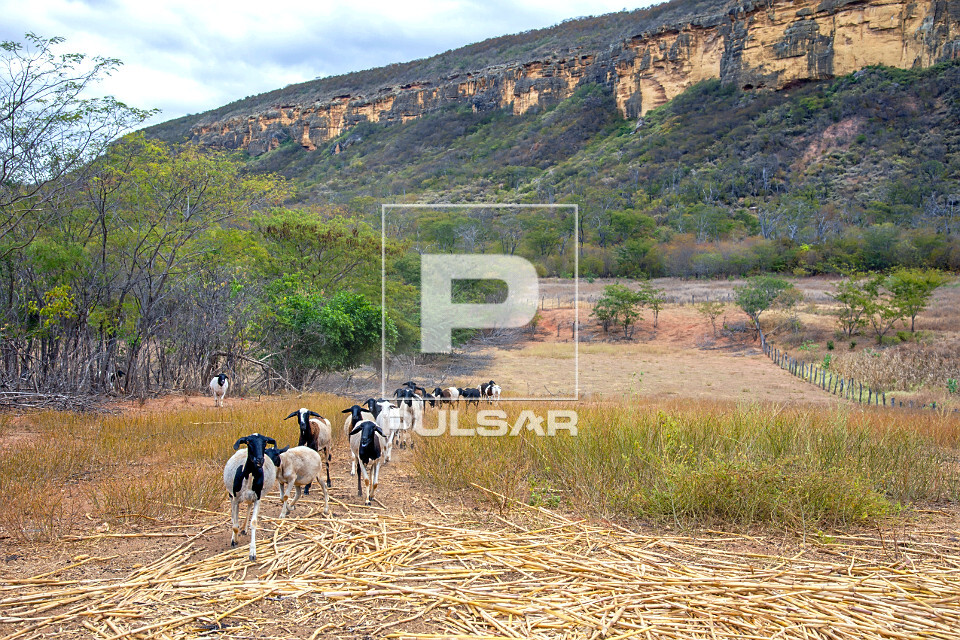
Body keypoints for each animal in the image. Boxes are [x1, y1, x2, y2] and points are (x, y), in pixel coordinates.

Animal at [223, 433, 277, 561]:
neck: (250, 475)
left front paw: (252, 552)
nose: (260, 460)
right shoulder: (235, 499)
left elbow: (254, 522)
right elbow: (235, 525)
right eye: (248, 442)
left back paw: (245, 529)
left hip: (250, 498)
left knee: (248, 507)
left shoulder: (257, 498)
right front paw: (234, 541)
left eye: (265, 442)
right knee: (234, 517)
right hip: (231, 495)